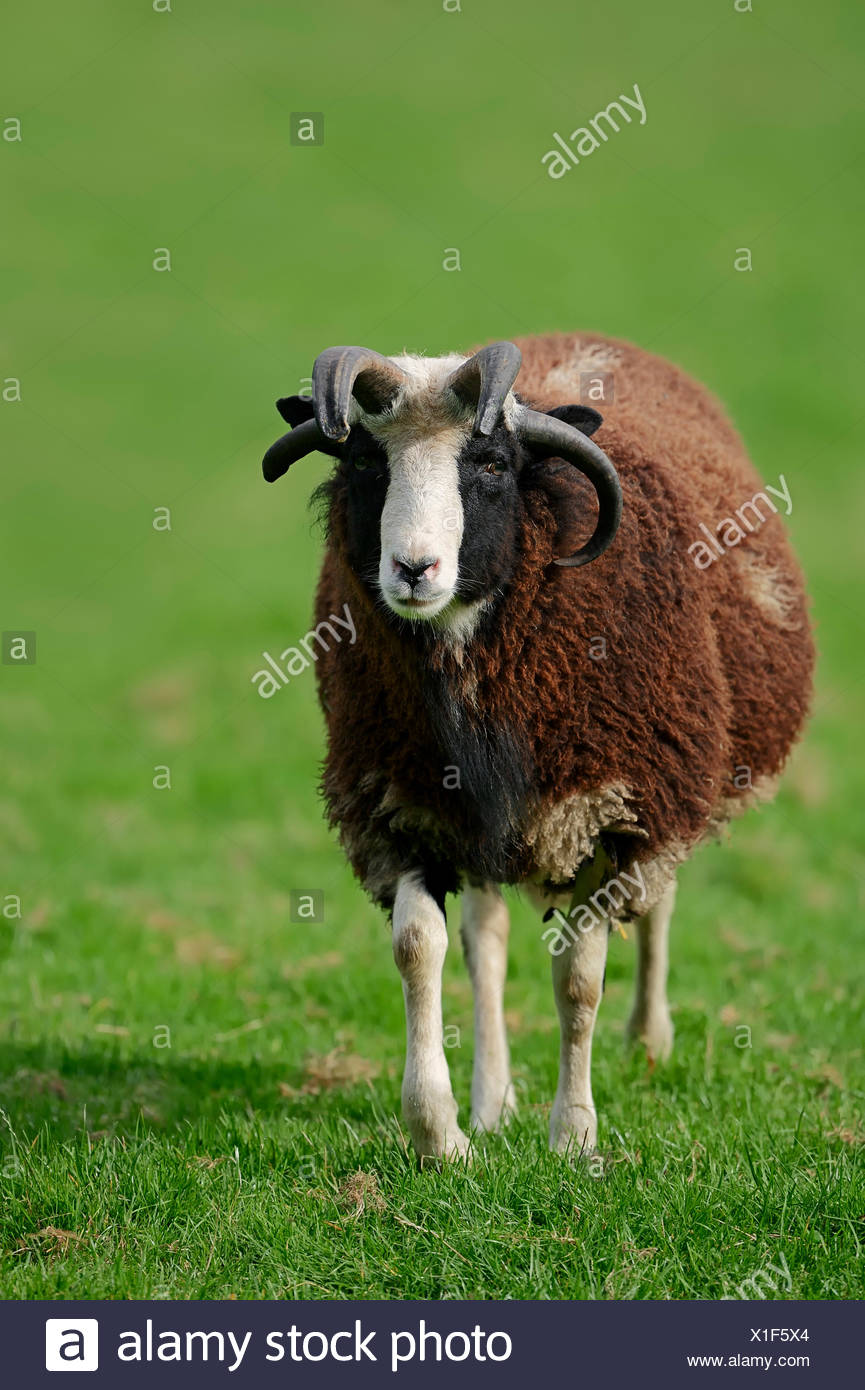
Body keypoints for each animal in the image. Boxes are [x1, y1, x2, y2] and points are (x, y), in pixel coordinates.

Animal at [262, 332, 814, 1160]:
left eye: (491, 464)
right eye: (363, 462)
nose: (413, 569)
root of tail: (586, 338)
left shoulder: (610, 805)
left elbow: (578, 980)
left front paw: (574, 1136)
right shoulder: (404, 806)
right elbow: (418, 950)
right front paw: (440, 1134)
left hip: (675, 778)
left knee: (658, 904)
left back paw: (647, 1041)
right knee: (484, 941)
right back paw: (493, 1102)